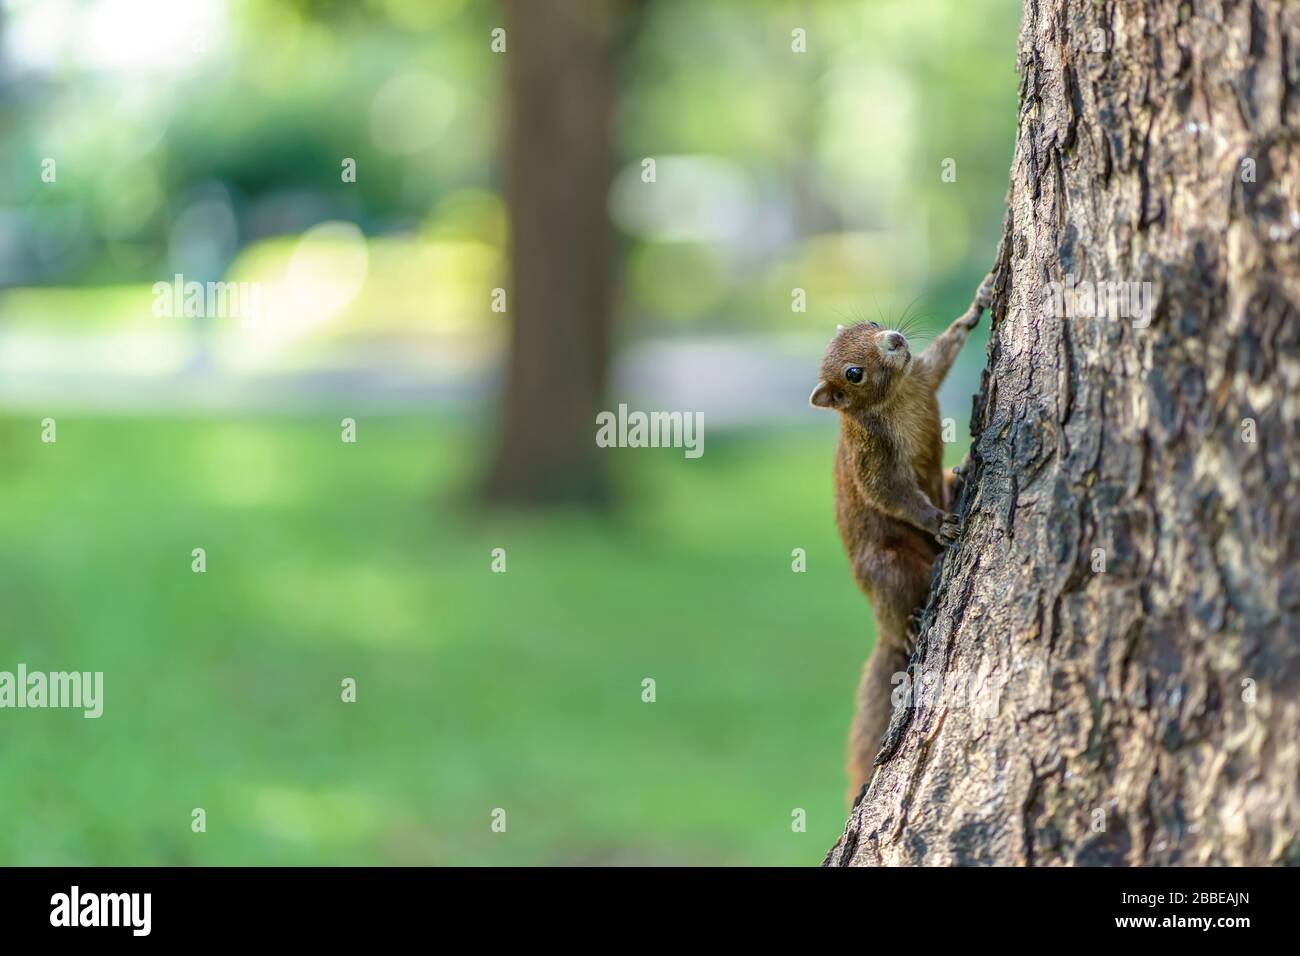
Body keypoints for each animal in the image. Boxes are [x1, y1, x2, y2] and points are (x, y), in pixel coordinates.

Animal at [810, 275, 994, 801]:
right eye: (853, 374)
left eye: (869, 322)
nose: (893, 339)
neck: (897, 398)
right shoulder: (872, 459)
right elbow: (892, 496)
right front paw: (938, 522)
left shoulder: (923, 376)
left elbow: (944, 351)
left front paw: (978, 304)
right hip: (886, 567)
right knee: (897, 597)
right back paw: (910, 625)